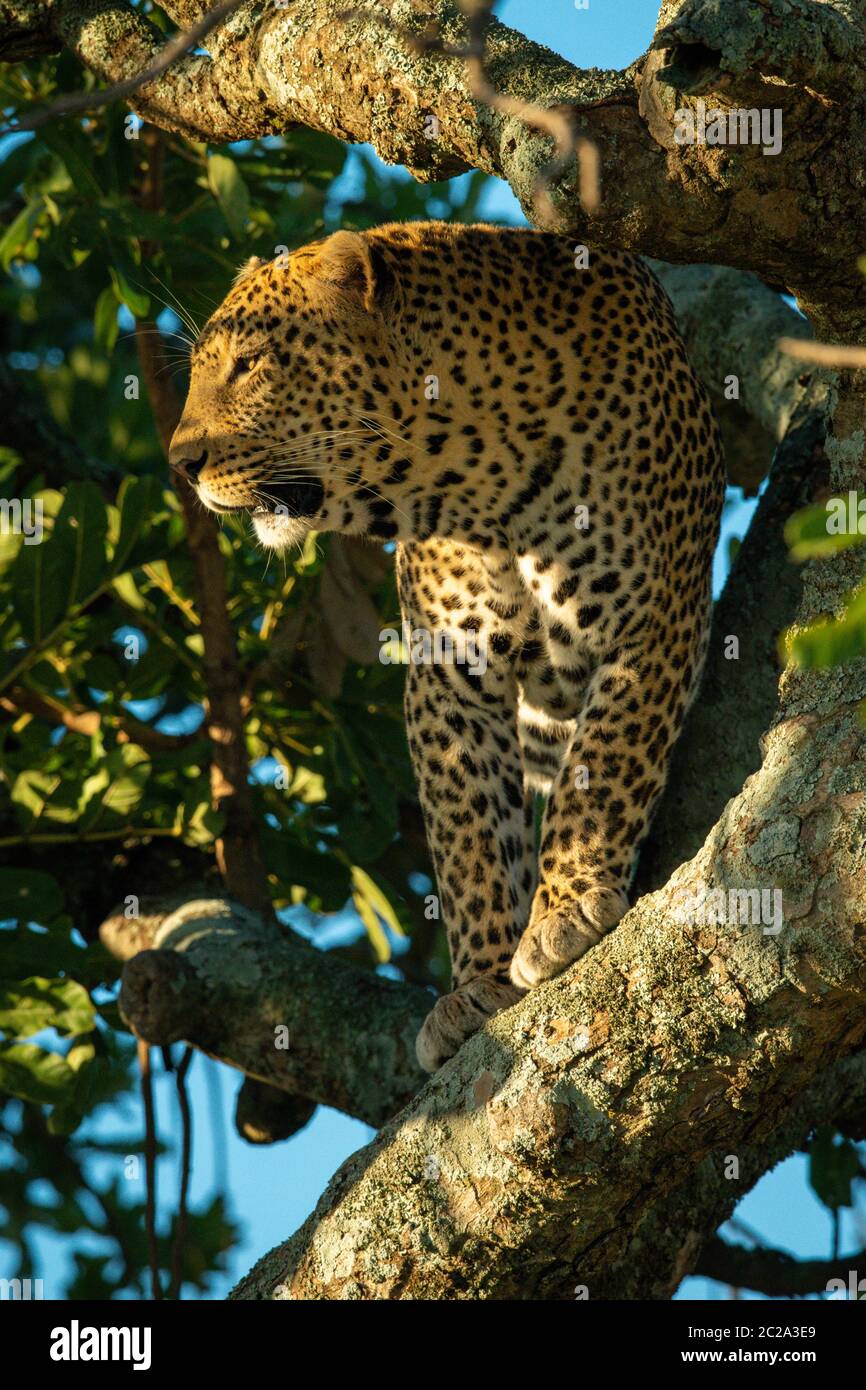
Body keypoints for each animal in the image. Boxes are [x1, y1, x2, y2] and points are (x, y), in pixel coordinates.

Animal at [169, 220, 725, 1074]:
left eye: (251, 363)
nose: (178, 463)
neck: (484, 487)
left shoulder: (651, 612)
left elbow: (606, 763)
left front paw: (565, 910)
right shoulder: (448, 676)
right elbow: (471, 840)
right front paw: (478, 986)